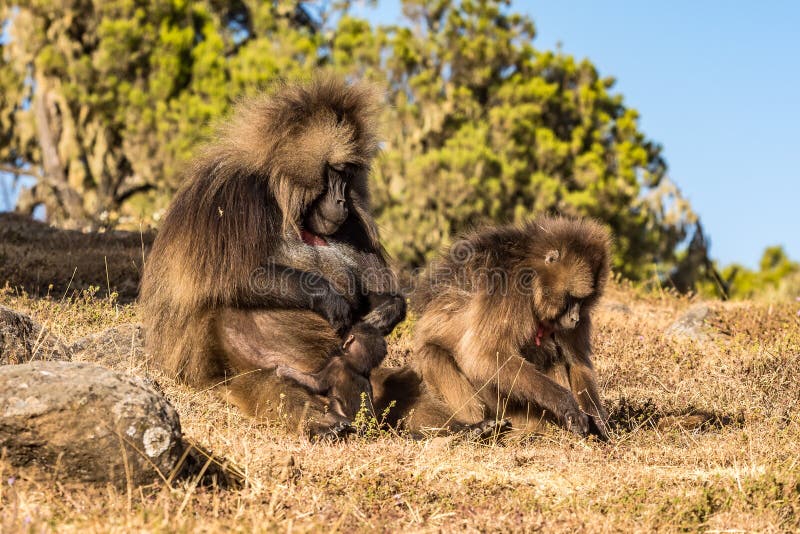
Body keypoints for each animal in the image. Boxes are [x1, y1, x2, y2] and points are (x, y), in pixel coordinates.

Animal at [139, 76, 405, 439]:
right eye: (335, 171)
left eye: (349, 175)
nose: (342, 202)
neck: (284, 199)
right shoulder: (233, 196)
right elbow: (235, 277)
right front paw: (330, 299)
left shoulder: (352, 225)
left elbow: (372, 290)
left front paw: (386, 312)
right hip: (210, 370)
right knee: (229, 309)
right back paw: (318, 418)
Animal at [371, 216, 611, 440]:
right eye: (571, 299)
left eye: (583, 300)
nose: (575, 320)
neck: (533, 273)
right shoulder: (509, 289)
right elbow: (484, 357)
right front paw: (566, 404)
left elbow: (577, 361)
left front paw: (598, 420)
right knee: (433, 353)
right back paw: (475, 429)